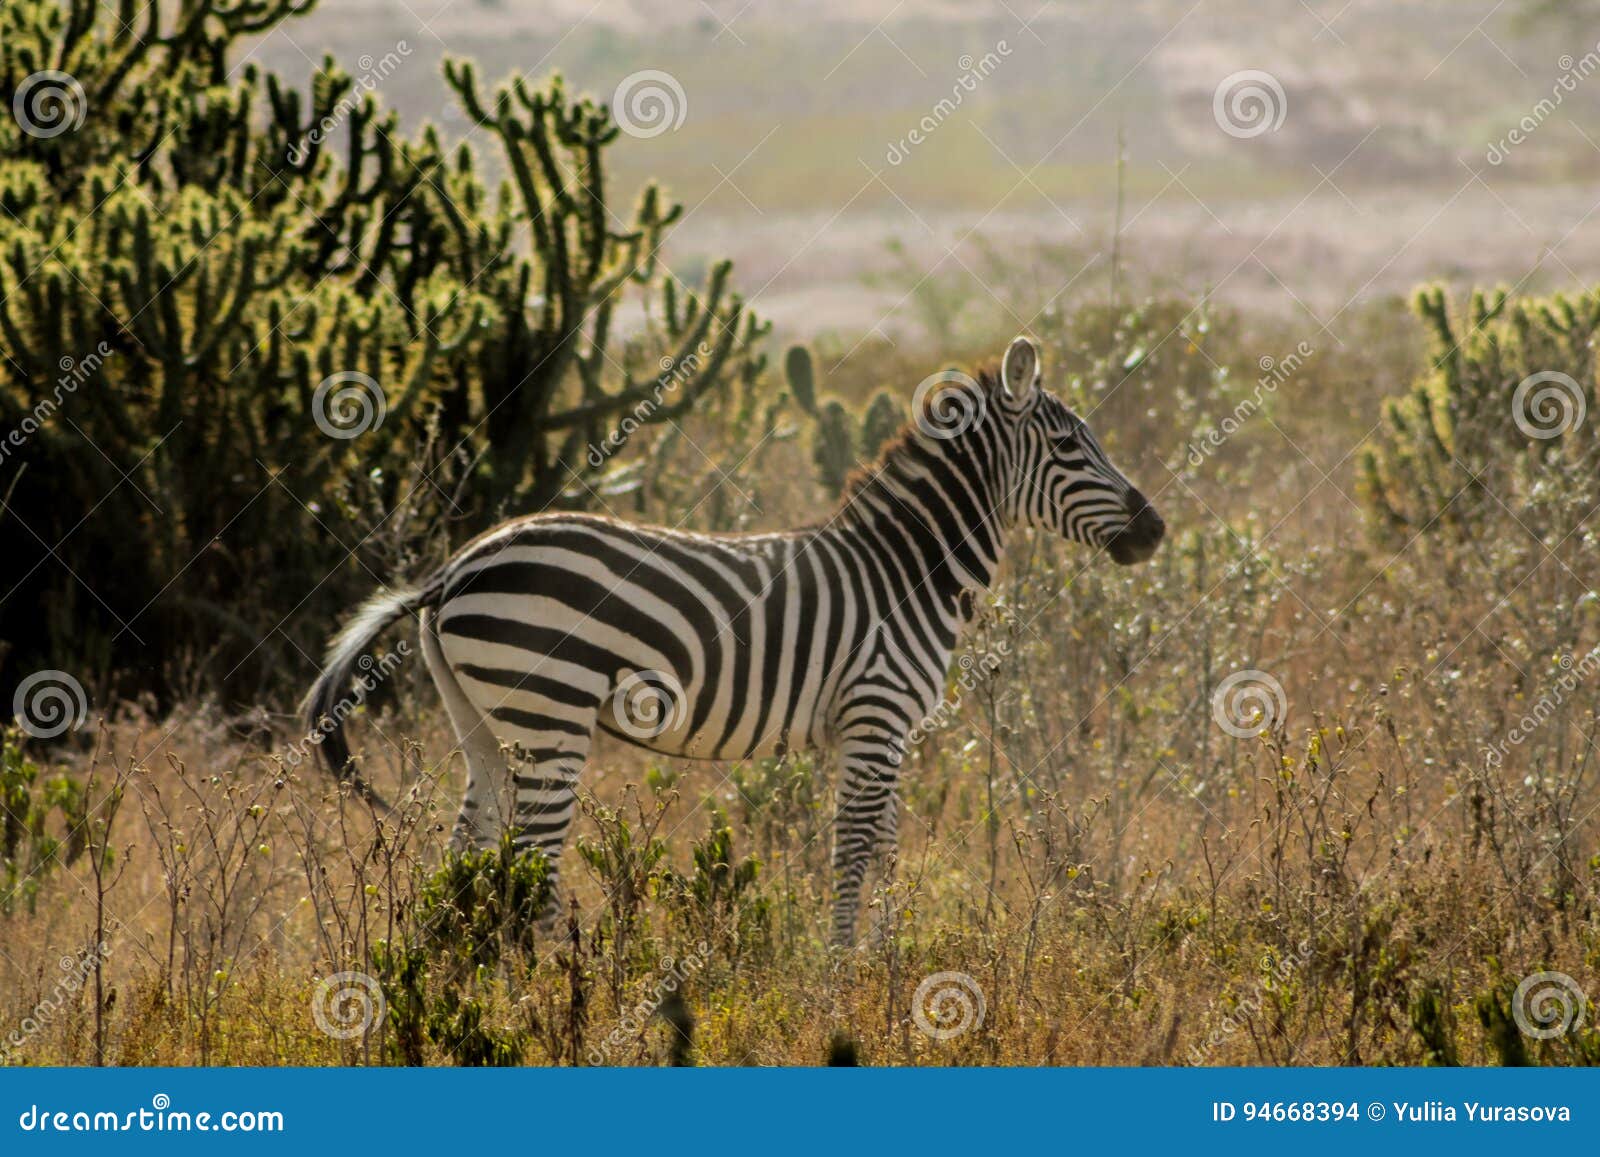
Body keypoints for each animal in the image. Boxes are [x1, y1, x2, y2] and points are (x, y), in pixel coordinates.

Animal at [303, 336, 1165, 945]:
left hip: (483, 721)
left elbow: (886, 846)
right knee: (530, 858)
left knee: (471, 846)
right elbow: (855, 846)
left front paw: (890, 965)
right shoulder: (875, 716)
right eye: (1070, 447)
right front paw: (845, 974)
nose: (1155, 529)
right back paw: (551, 988)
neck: (904, 570)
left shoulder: (882, 732)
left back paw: (459, 979)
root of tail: (452, 569)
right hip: (551, 715)